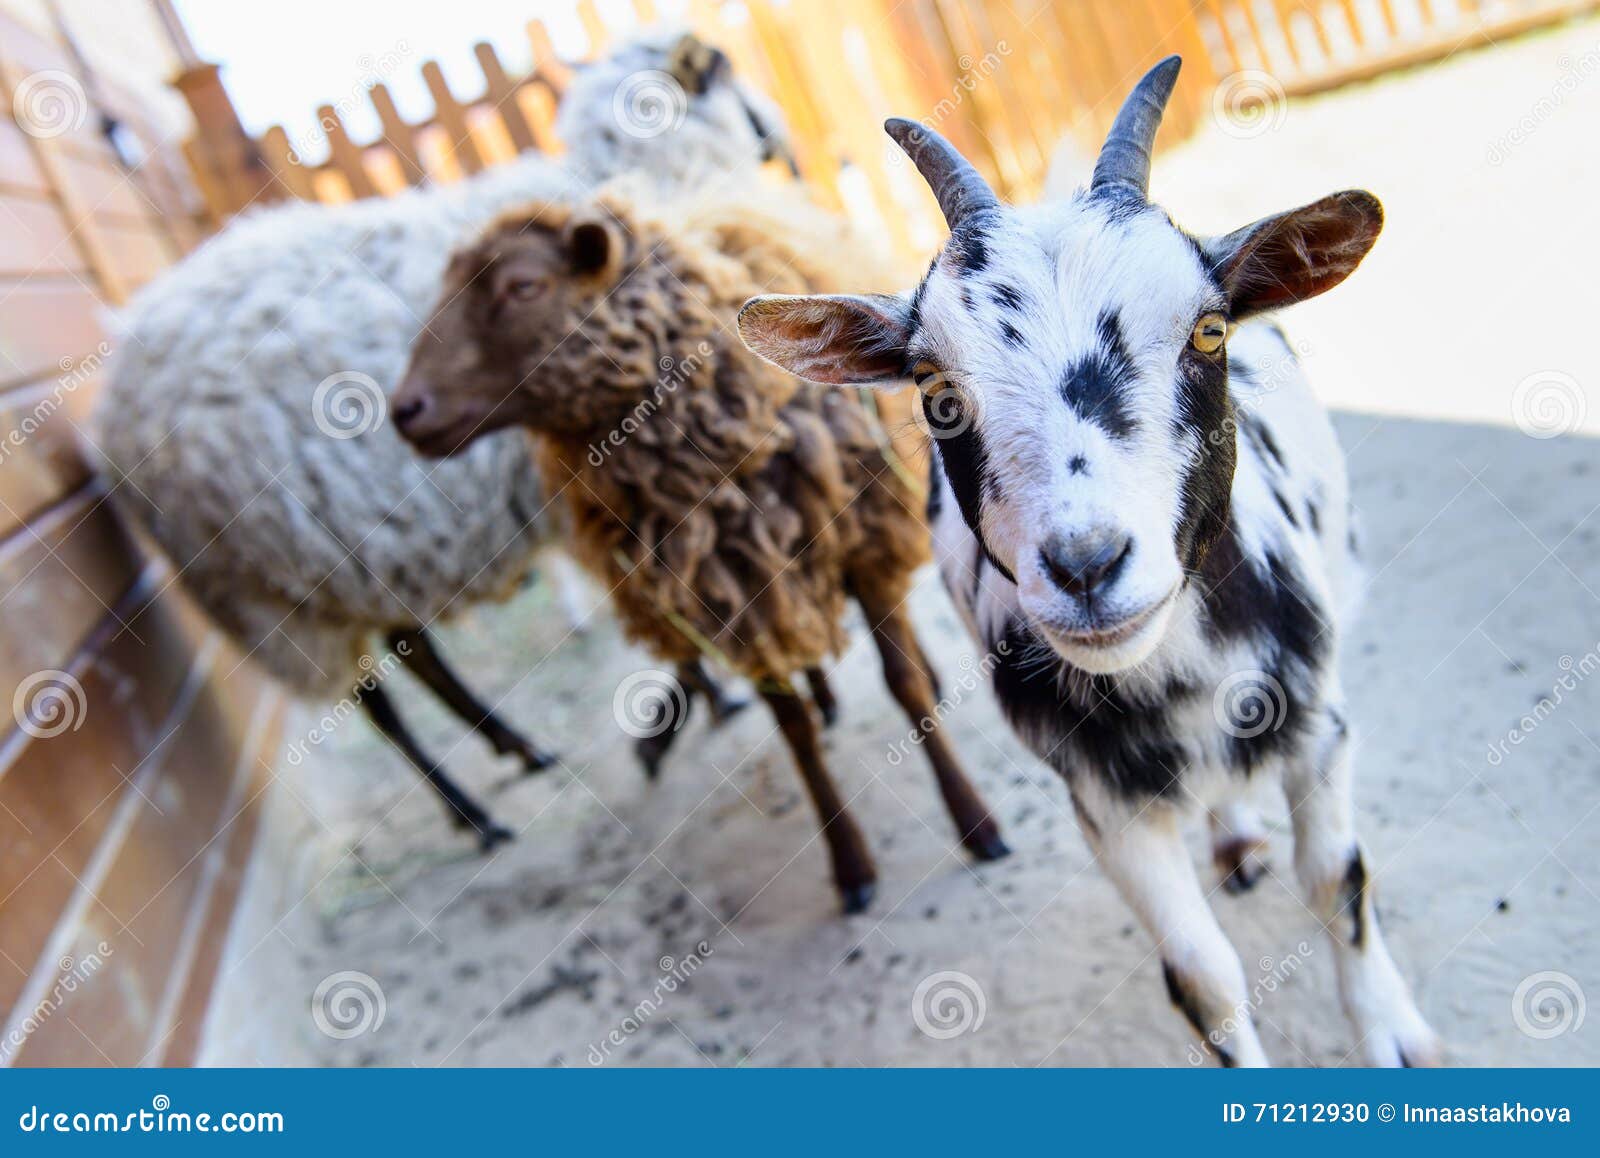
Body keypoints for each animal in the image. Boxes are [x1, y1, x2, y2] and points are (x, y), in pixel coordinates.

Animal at [392, 184, 1010, 912]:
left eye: (524, 286)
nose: (404, 410)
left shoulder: (859, 543)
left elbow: (903, 684)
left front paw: (976, 823)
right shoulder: (729, 592)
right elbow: (792, 725)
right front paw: (849, 863)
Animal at [737, 58, 1439, 1065]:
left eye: (1209, 331)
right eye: (934, 387)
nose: (1086, 566)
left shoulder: (1320, 722)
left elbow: (1336, 881)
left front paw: (1392, 1036)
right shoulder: (1103, 801)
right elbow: (1202, 977)